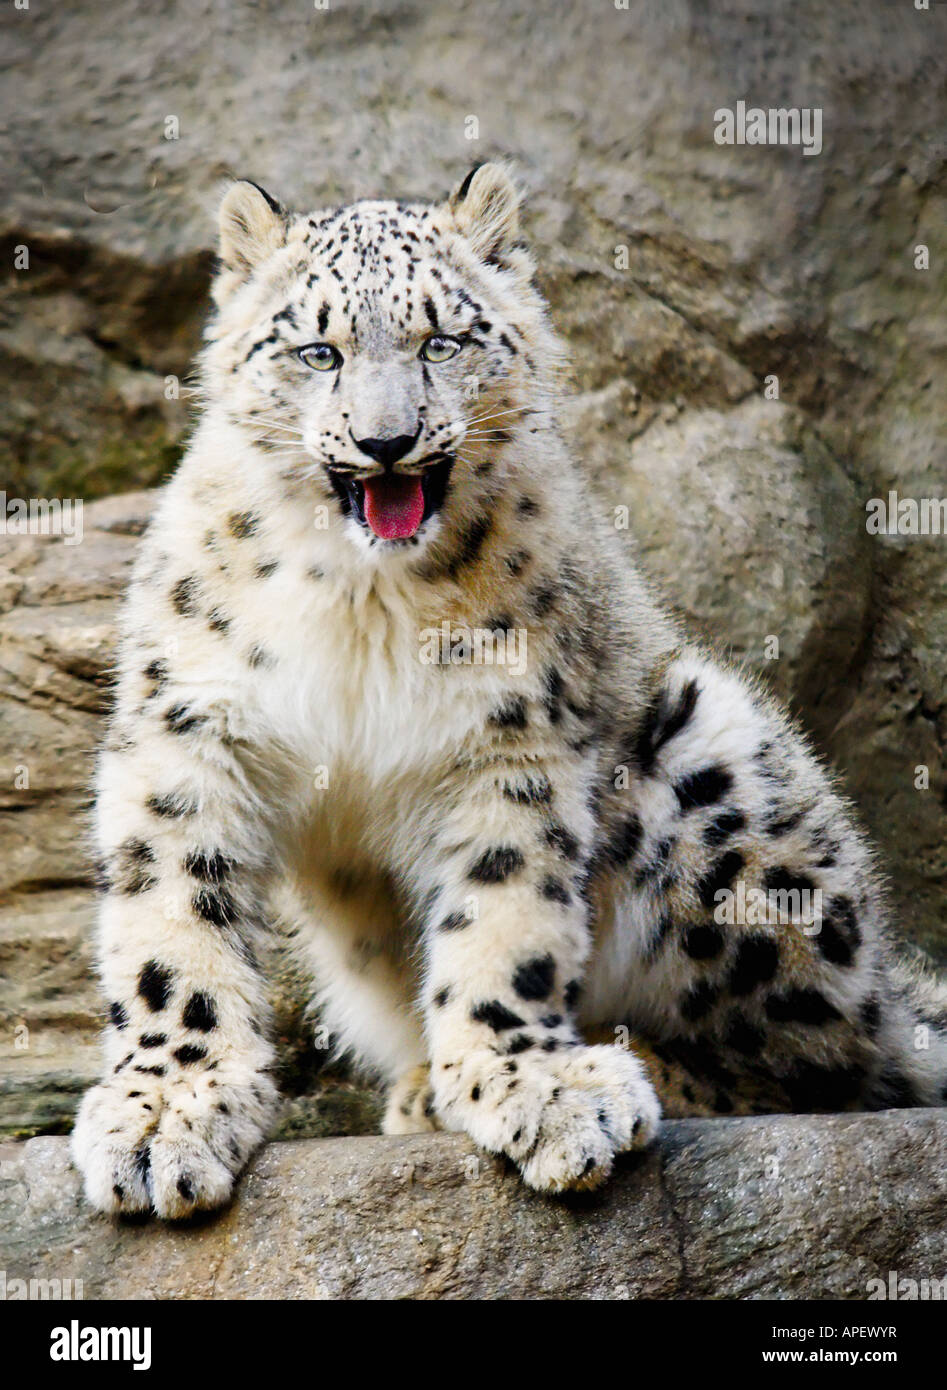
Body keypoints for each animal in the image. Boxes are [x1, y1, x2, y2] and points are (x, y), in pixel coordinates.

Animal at [71, 163, 947, 1218]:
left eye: (440, 340)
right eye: (316, 349)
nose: (385, 440)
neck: (359, 596)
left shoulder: (508, 739)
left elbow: (504, 912)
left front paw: (541, 1088)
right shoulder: (189, 725)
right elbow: (174, 923)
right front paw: (166, 1111)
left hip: (716, 765)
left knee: (824, 1060)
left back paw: (626, 1062)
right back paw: (421, 1090)